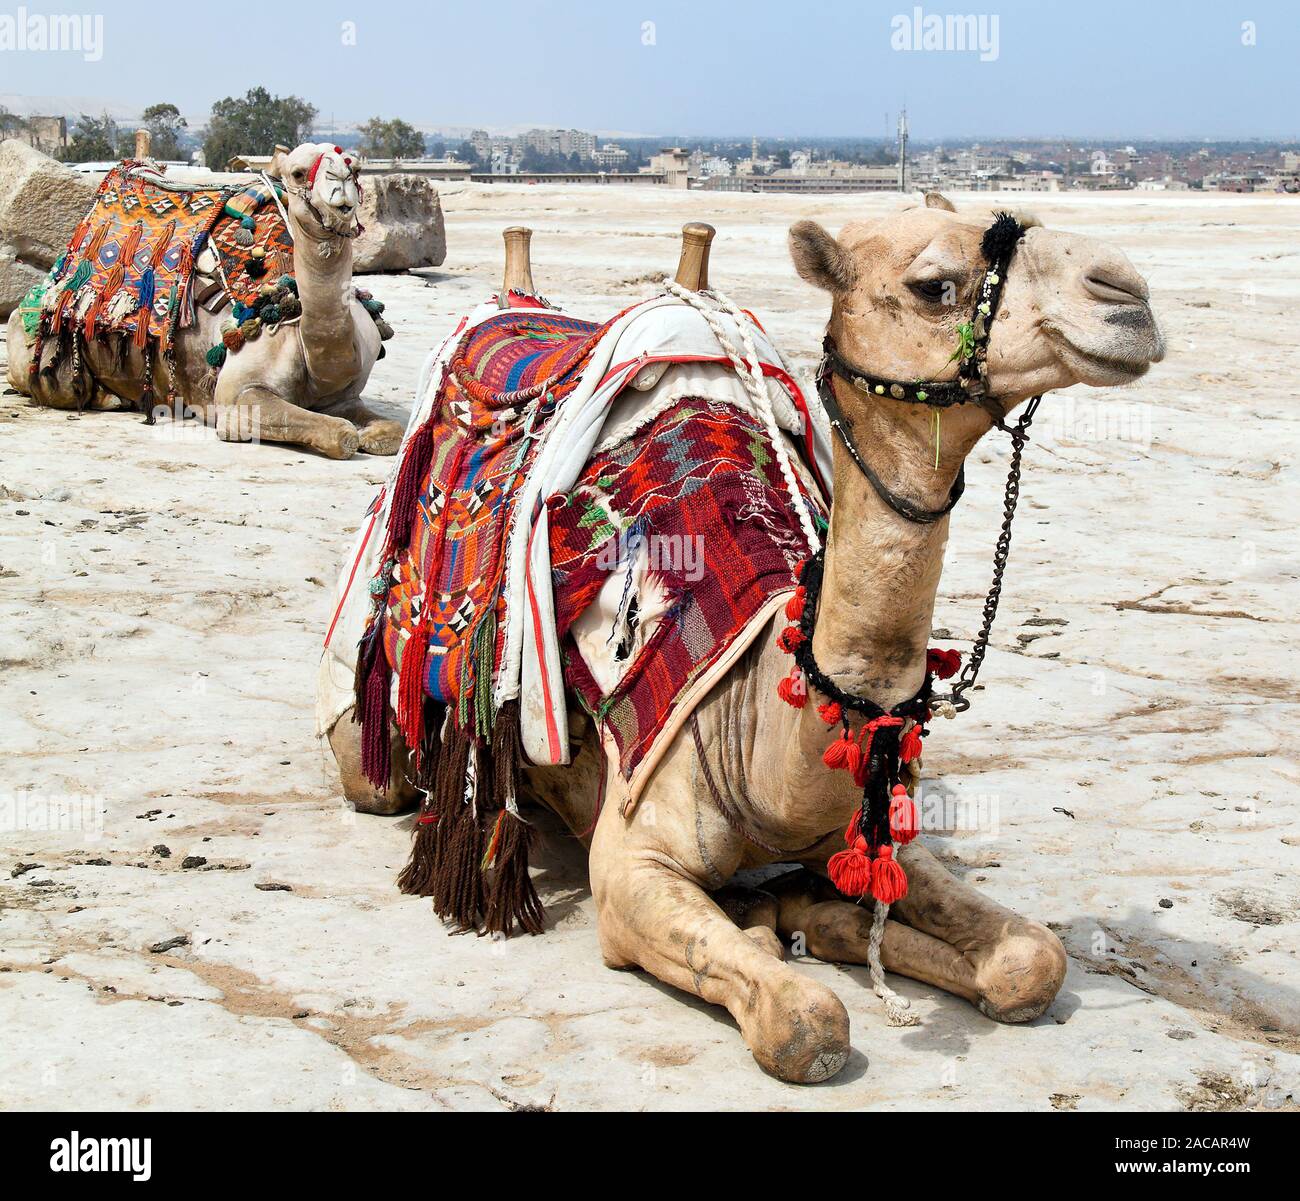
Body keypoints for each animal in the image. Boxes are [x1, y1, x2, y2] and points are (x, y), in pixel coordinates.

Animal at [6, 142, 403, 459]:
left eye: (356, 167)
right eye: (299, 172)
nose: (341, 179)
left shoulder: (345, 397)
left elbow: (390, 433)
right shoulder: (238, 398)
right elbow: (340, 434)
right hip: (40, 354)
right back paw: (111, 398)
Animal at [321, 195, 1165, 1083]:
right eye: (934, 284)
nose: (1127, 296)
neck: (765, 715)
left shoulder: (865, 828)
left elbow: (1031, 958)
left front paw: (812, 913)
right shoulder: (629, 864)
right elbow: (806, 1023)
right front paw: (777, 929)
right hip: (377, 718)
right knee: (379, 774)